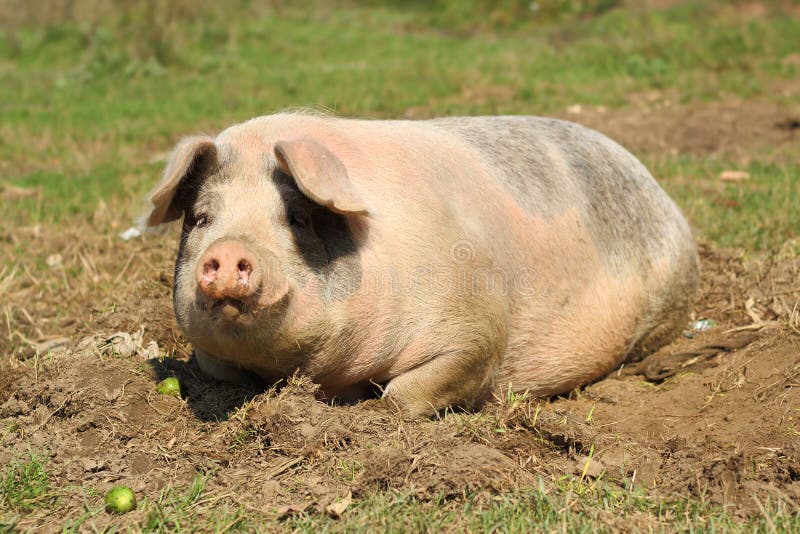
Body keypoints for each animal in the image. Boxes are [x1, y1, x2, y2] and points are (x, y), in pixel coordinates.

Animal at [146, 112, 699, 417]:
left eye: (297, 216)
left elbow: (406, 392)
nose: (227, 250)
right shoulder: (208, 353)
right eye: (201, 218)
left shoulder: (477, 326)